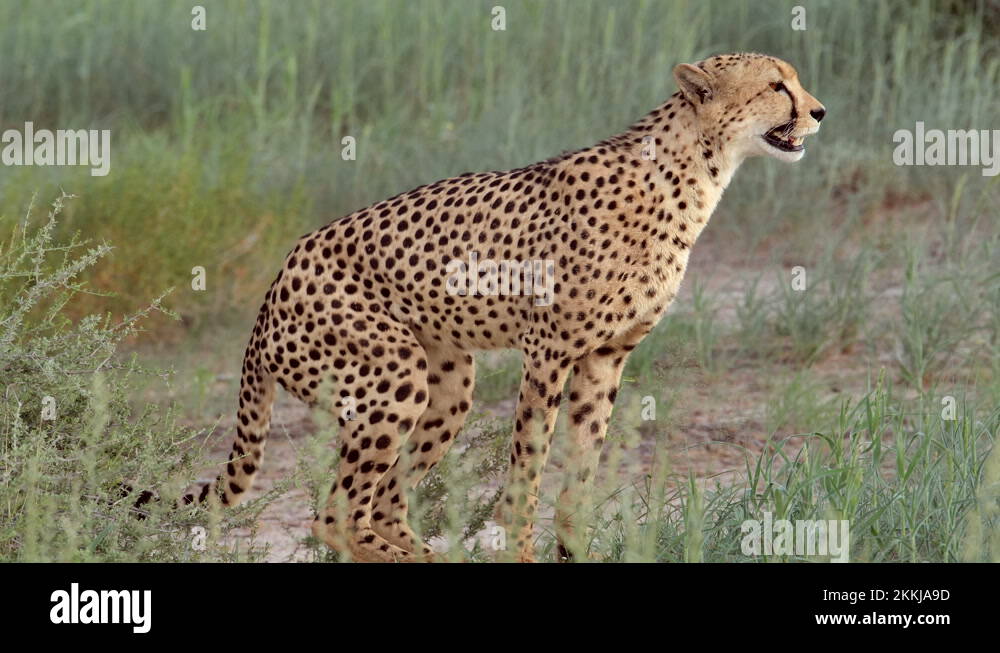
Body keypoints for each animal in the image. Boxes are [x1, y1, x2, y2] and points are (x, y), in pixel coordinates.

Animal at [182, 52, 825, 562]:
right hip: (392, 375)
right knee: (337, 516)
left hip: (447, 386)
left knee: (386, 501)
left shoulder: (605, 358)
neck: (693, 171)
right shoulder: (548, 353)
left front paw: (576, 547)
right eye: (776, 86)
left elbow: (579, 477)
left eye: (793, 81)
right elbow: (528, 473)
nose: (819, 112)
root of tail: (276, 280)